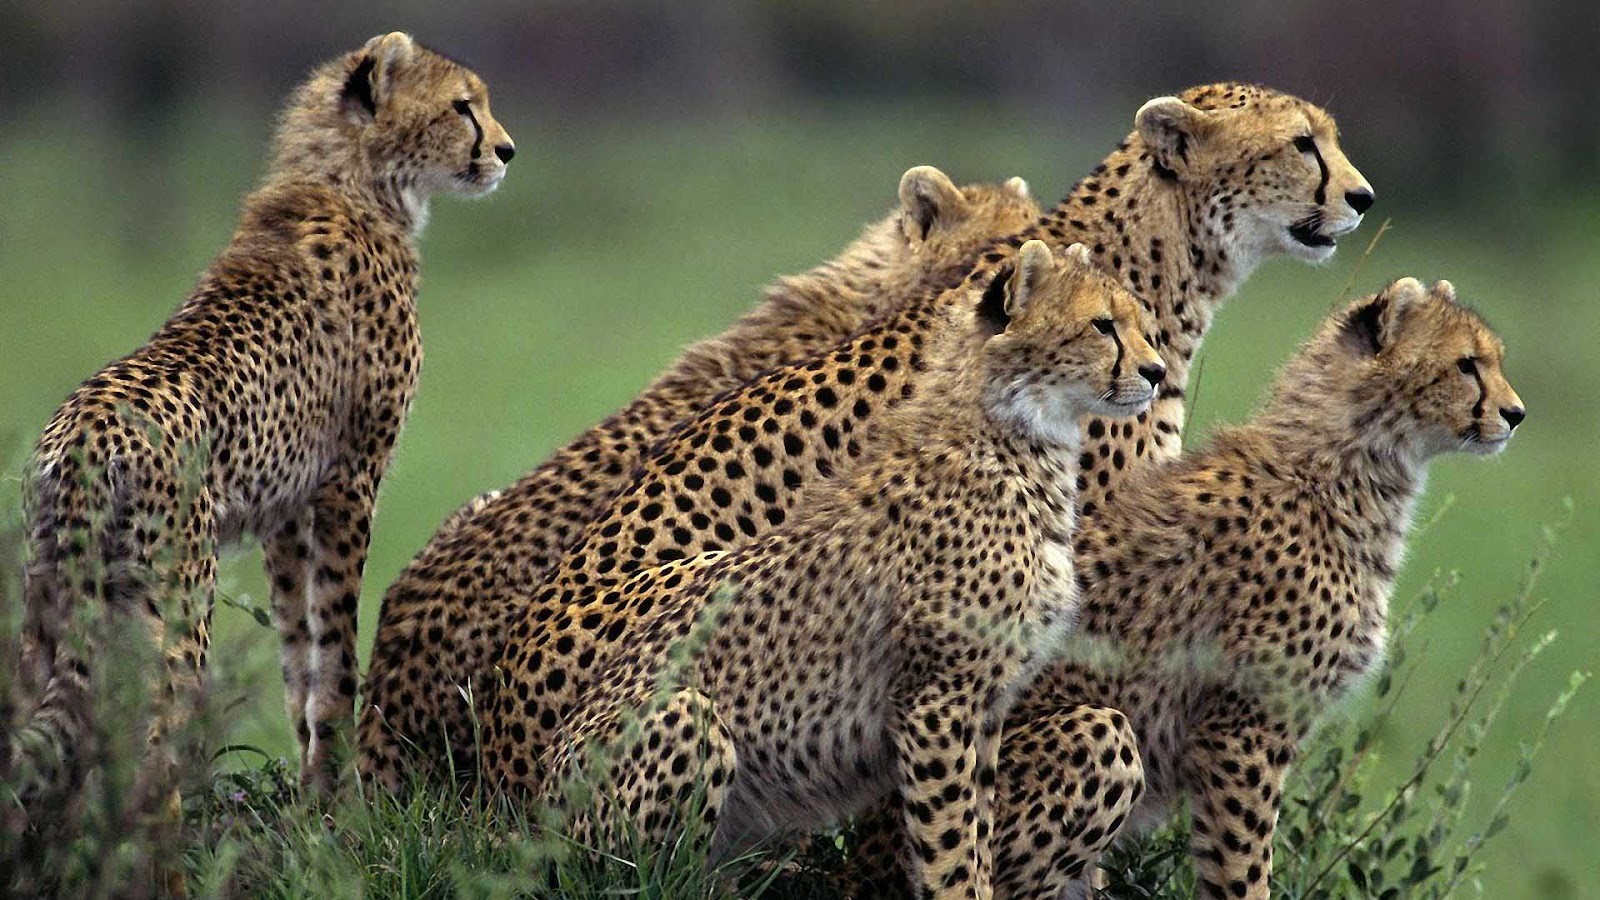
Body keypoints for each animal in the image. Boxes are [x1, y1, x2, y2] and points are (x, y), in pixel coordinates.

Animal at [3, 32, 515, 809]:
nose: (506, 150)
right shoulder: (349, 482)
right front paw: (338, 794)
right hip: (174, 595)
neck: (352, 182)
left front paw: (311, 783)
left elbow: (298, 653)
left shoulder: (287, 510)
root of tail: (88, 428)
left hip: (54, 597)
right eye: (463, 106)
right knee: (156, 734)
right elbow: (335, 646)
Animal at [506, 240, 1164, 900]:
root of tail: (535, 820)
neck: (1017, 441)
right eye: (1102, 325)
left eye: (1136, 319)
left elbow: (976, 832)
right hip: (683, 722)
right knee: (645, 879)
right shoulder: (937, 703)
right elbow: (949, 844)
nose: (1156, 372)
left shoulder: (985, 710)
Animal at [967, 277, 1524, 900]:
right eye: (1467, 364)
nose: (1516, 413)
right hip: (1096, 738)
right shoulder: (1242, 734)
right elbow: (1244, 866)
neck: (1344, 466)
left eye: (1492, 360)